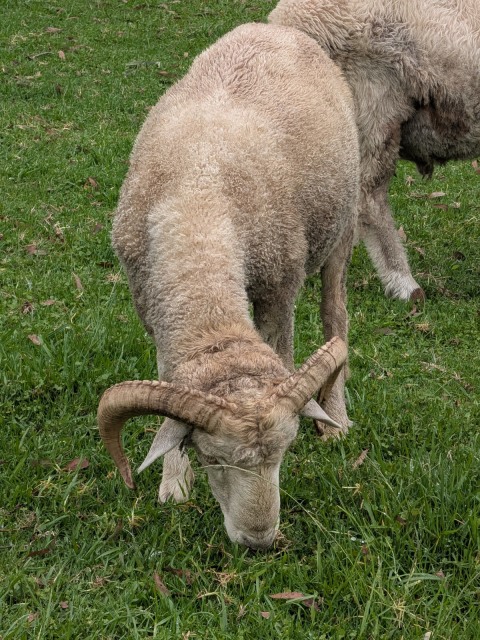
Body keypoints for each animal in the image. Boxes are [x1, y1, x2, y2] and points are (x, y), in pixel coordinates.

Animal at [97, 22, 360, 549]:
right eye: (213, 458)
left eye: (284, 452)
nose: (258, 542)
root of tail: (276, 28)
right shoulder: (155, 311)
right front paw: (174, 484)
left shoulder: (279, 289)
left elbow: (284, 348)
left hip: (341, 228)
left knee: (335, 313)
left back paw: (337, 417)